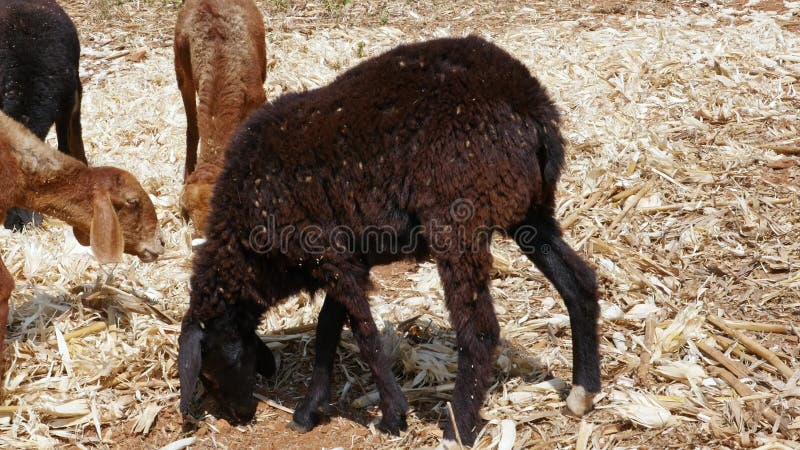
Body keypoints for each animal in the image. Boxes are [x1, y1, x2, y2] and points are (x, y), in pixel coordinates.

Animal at [178, 36, 600, 447]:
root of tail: (533, 108)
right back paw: (583, 393)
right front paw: (309, 410)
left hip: (457, 223)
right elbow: (328, 329)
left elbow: (364, 337)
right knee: (578, 283)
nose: (240, 417)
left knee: (480, 331)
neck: (249, 250)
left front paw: (393, 415)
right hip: (530, 212)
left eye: (209, 372)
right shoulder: (347, 260)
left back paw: (457, 429)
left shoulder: (329, 257)